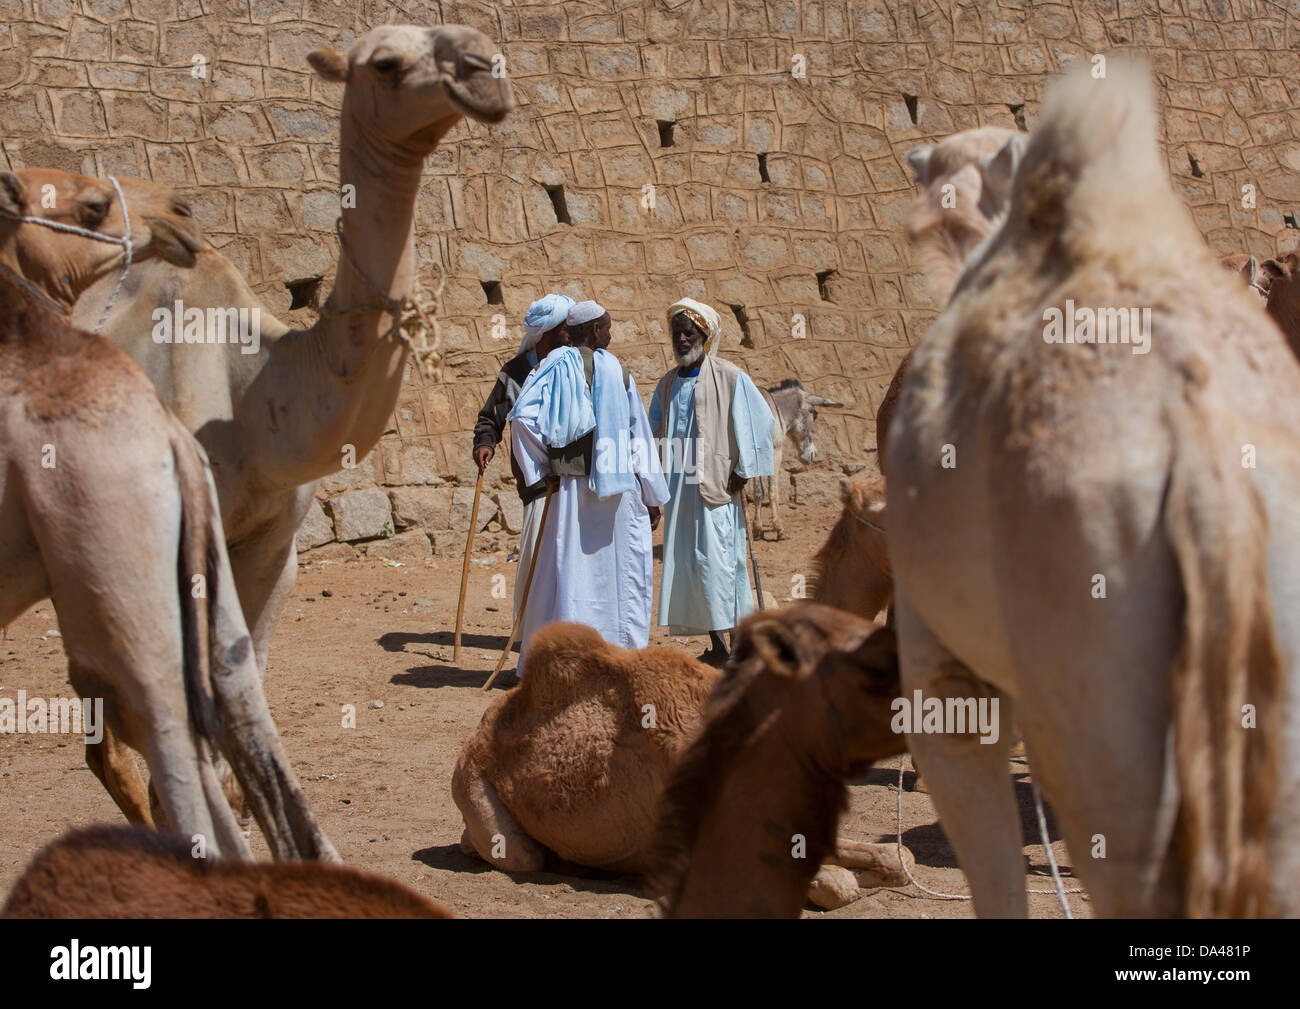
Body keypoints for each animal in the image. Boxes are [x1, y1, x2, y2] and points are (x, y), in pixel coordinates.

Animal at [750, 379, 843, 540]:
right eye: (815, 414)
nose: (813, 454)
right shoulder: (775, 450)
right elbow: (773, 490)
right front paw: (779, 529)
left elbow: (758, 491)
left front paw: (757, 529)